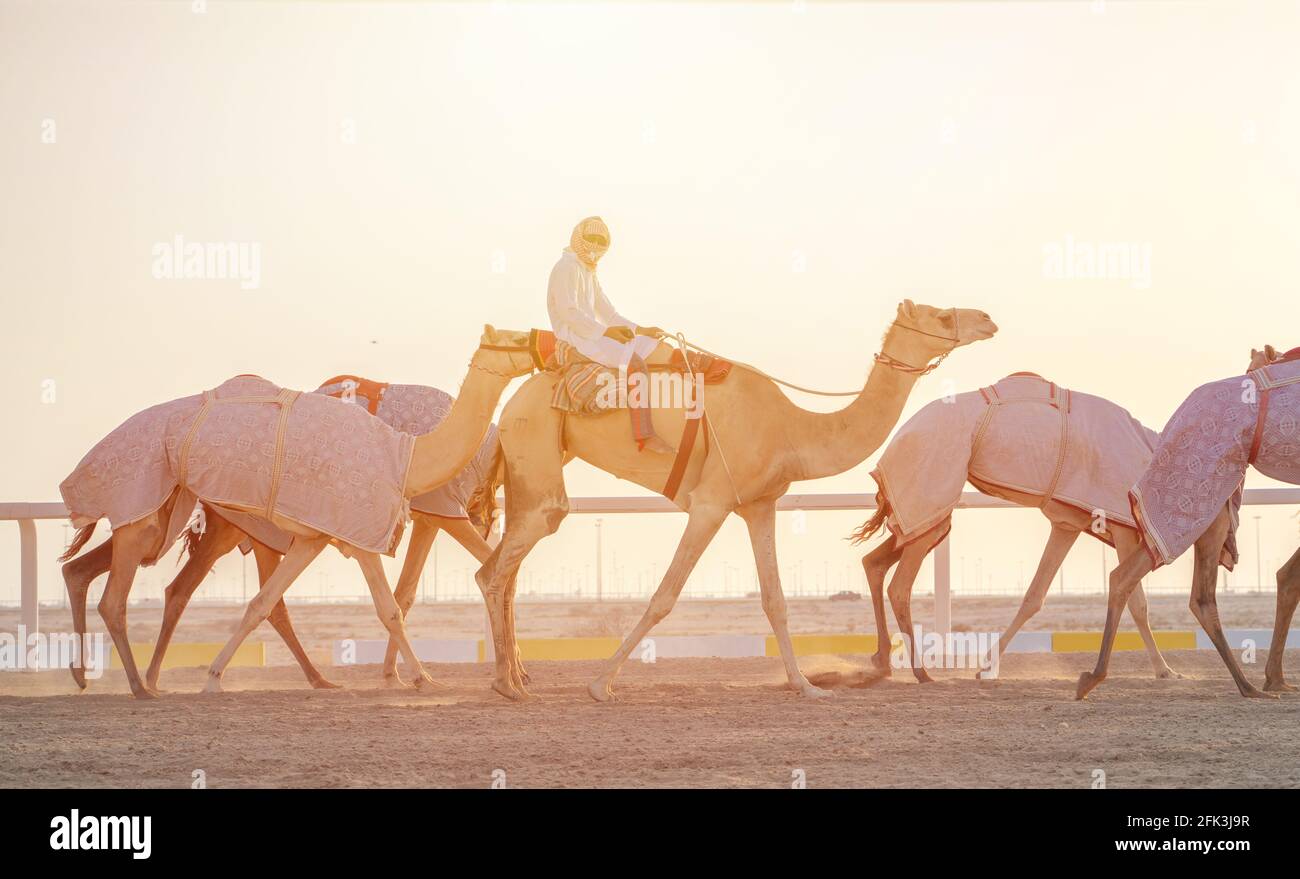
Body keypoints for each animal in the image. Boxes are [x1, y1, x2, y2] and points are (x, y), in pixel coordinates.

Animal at [58, 327, 535, 698]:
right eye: (514, 337)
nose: (546, 345)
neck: (410, 454)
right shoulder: (402, 519)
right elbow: (396, 604)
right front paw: (427, 677)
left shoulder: (326, 533)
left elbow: (267, 602)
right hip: (163, 509)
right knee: (125, 594)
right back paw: (140, 685)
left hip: (182, 514)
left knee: (124, 578)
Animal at [475, 300, 998, 702]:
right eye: (939, 315)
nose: (987, 319)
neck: (792, 432)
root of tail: (515, 396)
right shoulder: (711, 502)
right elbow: (664, 596)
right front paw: (601, 685)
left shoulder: (759, 505)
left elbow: (775, 600)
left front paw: (806, 686)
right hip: (536, 448)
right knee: (506, 564)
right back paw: (507, 685)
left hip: (530, 469)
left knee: (498, 569)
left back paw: (515, 676)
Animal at [846, 373, 1189, 683]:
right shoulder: (1121, 524)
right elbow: (1137, 600)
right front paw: (1165, 670)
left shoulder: (1068, 523)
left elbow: (1035, 595)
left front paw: (985, 666)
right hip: (929, 496)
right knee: (899, 586)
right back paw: (921, 673)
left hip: (921, 514)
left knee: (874, 562)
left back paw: (882, 661)